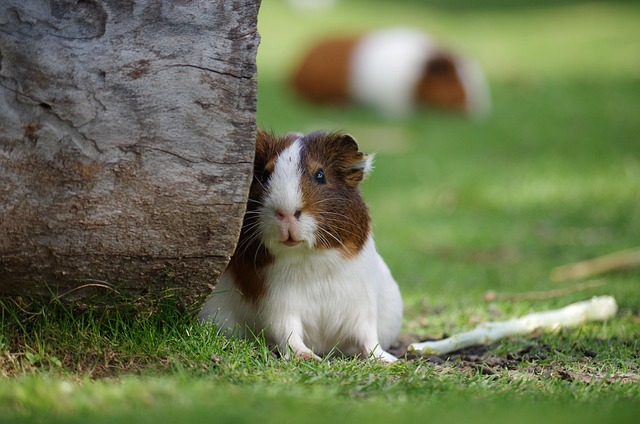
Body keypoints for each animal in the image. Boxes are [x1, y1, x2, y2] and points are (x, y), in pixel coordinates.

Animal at [199, 129, 403, 363]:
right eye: (264, 174)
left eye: (320, 175)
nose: (286, 212)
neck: (308, 259)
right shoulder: (278, 304)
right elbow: (288, 333)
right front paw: (308, 357)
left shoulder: (361, 305)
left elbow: (369, 338)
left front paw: (390, 361)